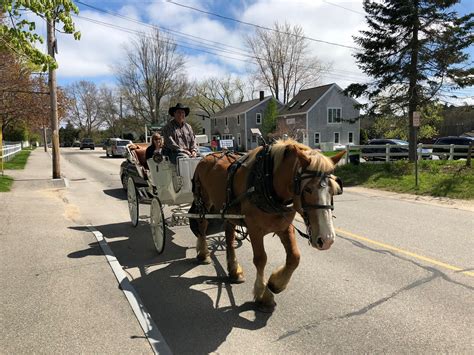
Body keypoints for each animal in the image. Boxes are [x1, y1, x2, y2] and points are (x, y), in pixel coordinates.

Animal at [190, 139, 344, 312]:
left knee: (229, 236)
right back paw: (203, 253)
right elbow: (260, 259)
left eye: (334, 190)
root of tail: (207, 156)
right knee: (202, 226)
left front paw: (276, 284)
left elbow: (294, 257)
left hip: (228, 211)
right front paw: (263, 294)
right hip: (203, 202)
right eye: (308, 188)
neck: (267, 180)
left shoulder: (284, 226)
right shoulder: (254, 229)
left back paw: (234, 270)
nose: (327, 239)